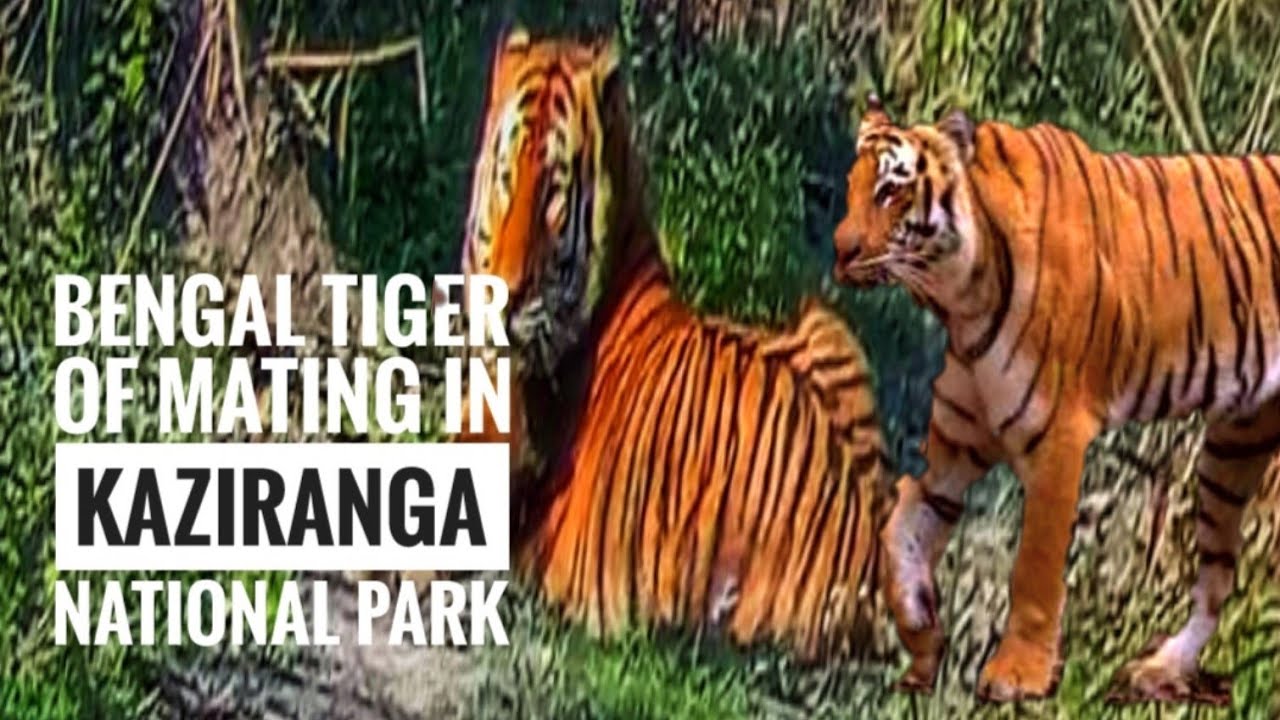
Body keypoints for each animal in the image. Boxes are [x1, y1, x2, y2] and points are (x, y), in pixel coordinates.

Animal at [831, 94, 1280, 703]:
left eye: (888, 191)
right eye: (852, 186)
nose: (840, 250)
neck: (960, 300)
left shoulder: (1059, 437)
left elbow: (1034, 567)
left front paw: (1016, 676)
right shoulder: (954, 446)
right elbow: (900, 532)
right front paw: (922, 634)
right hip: (1233, 449)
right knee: (1217, 576)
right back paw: (1157, 670)